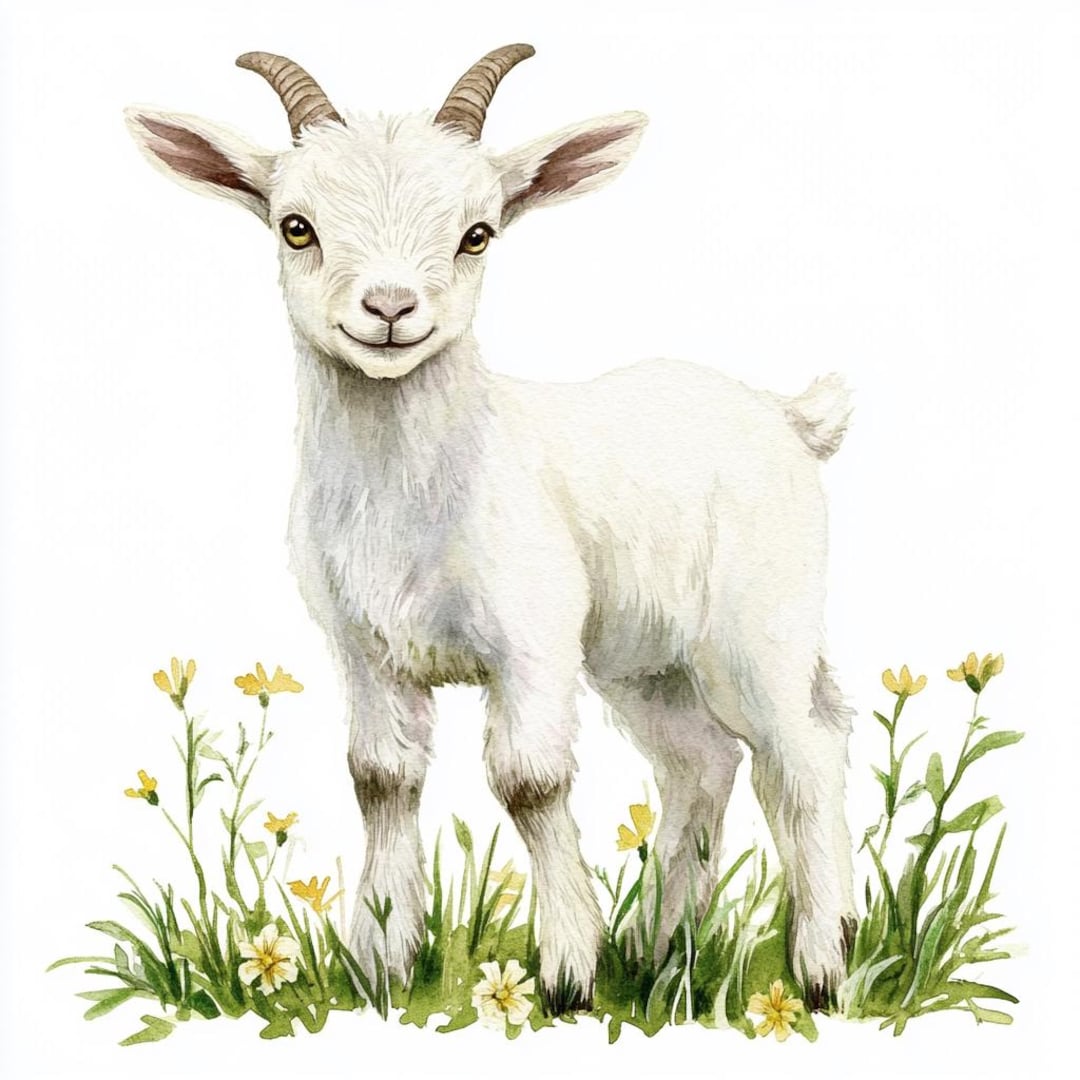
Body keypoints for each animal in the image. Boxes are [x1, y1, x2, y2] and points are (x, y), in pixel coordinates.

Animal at [126, 44, 856, 1013]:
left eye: (479, 234)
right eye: (295, 227)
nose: (390, 309)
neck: (410, 504)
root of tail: (789, 416)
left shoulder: (532, 640)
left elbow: (530, 783)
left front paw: (568, 976)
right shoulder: (366, 649)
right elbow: (380, 778)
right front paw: (381, 963)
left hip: (755, 627)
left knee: (799, 753)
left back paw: (819, 965)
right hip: (644, 662)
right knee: (708, 762)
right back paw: (662, 953)